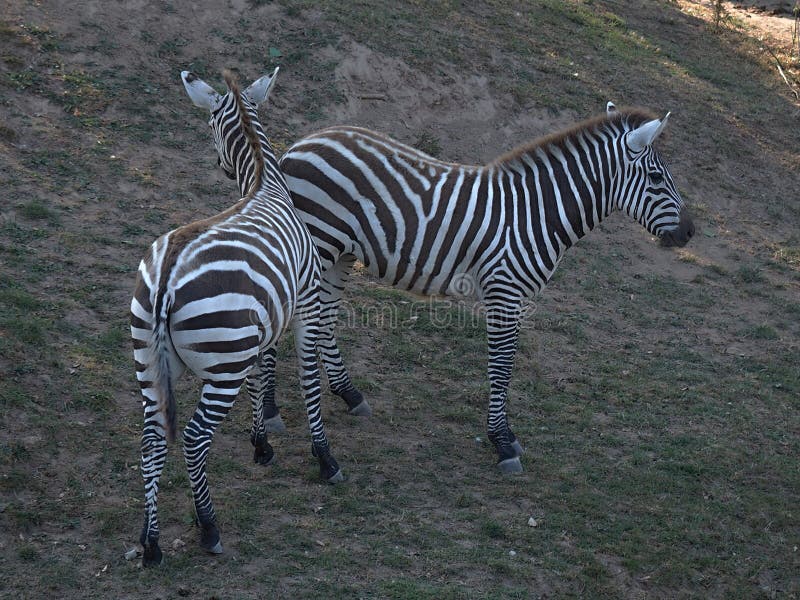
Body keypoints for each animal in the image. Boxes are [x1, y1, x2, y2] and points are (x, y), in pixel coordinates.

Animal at [130, 68, 342, 567]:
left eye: (210, 125)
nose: (221, 166)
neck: (265, 183)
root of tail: (166, 276)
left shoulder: (263, 322)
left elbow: (262, 373)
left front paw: (261, 442)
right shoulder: (304, 302)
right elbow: (306, 376)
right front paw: (323, 457)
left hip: (152, 363)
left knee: (151, 442)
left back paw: (151, 542)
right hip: (222, 363)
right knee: (193, 439)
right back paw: (208, 527)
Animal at [258, 101, 694, 474]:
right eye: (657, 177)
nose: (690, 233)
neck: (535, 213)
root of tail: (297, 146)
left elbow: (503, 365)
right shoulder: (505, 291)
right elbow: (502, 366)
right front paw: (502, 441)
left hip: (340, 255)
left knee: (322, 323)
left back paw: (344, 394)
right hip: (317, 246)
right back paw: (273, 419)